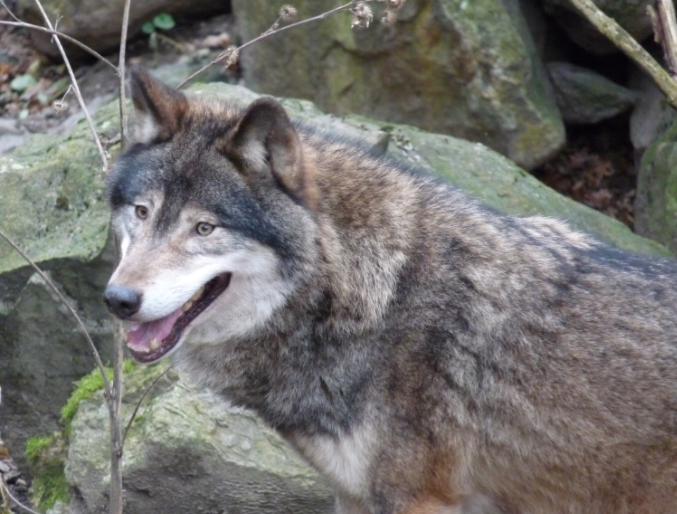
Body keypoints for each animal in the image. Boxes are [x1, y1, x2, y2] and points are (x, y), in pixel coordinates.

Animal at [104, 67, 677, 514]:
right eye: (142, 212)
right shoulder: (353, 494)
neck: (371, 297)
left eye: (204, 228)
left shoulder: (418, 497)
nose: (118, 301)